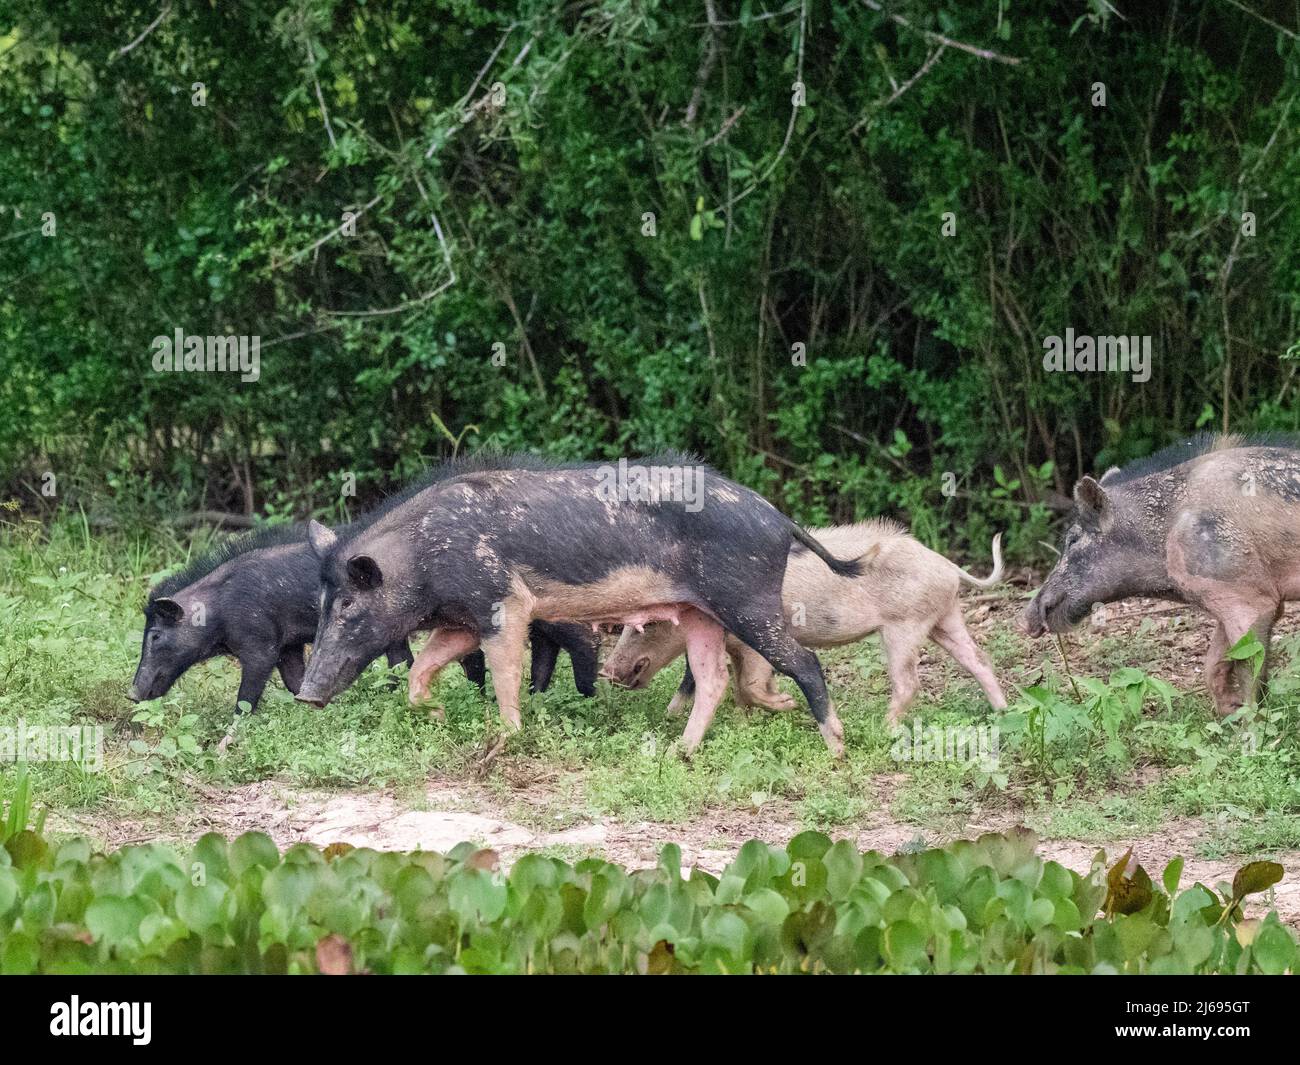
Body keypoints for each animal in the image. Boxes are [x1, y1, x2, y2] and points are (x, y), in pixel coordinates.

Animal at [295, 453, 864, 756]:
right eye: (320, 604)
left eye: (347, 604)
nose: (305, 695)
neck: (421, 557)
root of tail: (780, 519)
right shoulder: (462, 620)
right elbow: (423, 668)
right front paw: (434, 715)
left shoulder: (504, 601)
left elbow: (507, 671)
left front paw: (508, 735)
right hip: (700, 612)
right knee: (712, 676)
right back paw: (680, 750)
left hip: (748, 599)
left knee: (805, 662)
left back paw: (834, 747)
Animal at [601, 521, 1007, 724]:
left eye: (650, 624)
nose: (609, 670)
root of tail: (948, 565)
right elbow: (722, 683)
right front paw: (744, 722)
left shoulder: (755, 641)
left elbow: (749, 682)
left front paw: (786, 705)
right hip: (944, 618)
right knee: (979, 660)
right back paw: (1003, 712)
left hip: (904, 627)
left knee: (909, 682)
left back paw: (884, 727)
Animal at [1022, 434, 1300, 714]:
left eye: (1073, 540)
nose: (1026, 619)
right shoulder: (1227, 598)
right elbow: (1212, 667)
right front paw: (1229, 713)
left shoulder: (1252, 600)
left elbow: (1250, 671)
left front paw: (1249, 720)